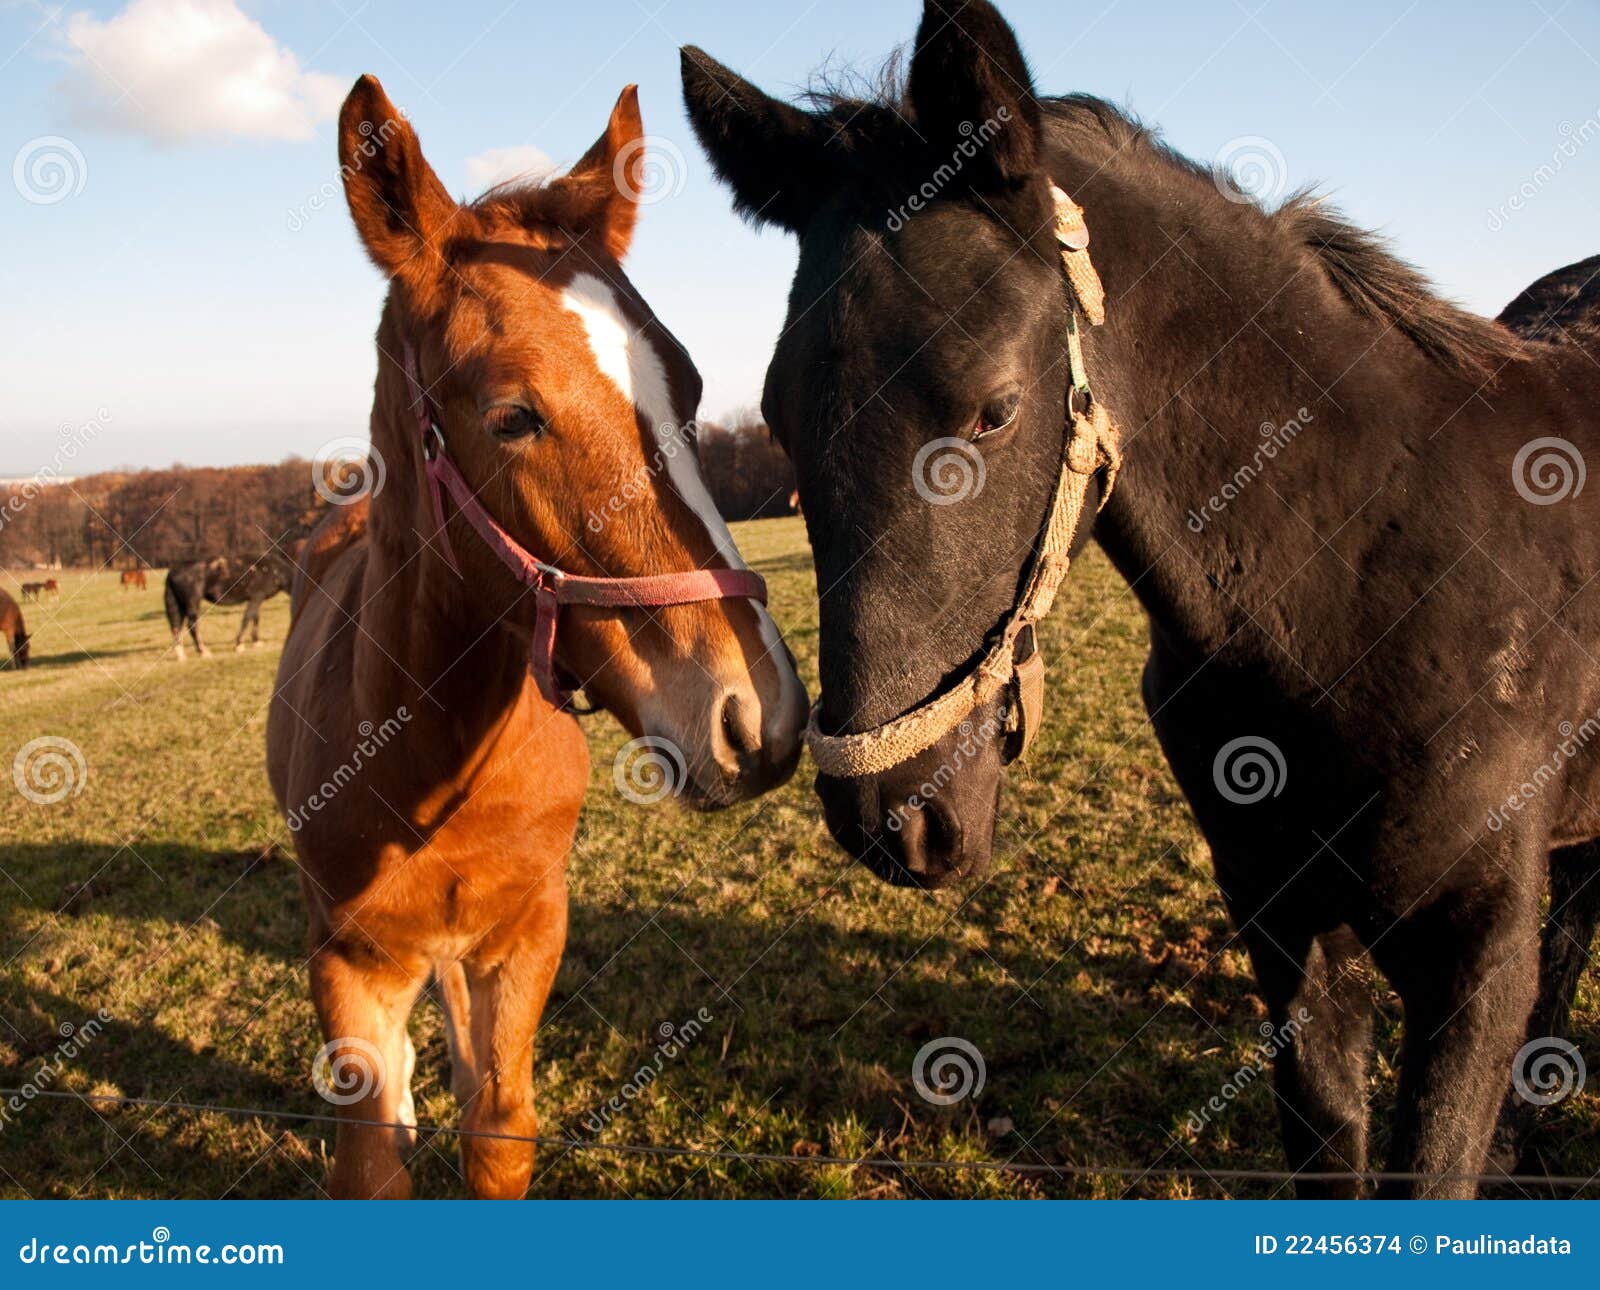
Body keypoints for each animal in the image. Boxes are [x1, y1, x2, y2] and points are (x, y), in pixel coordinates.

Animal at [164, 554, 293, 659]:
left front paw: (256, 641)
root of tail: (172, 572)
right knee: (192, 625)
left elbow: (255, 618)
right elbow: (247, 619)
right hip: (192, 602)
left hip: (180, 605)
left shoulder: (257, 600)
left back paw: (180, 654)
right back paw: (203, 651)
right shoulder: (256, 598)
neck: (275, 570)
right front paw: (239, 645)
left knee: (176, 627)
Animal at [265, 75, 806, 1200]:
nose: (758, 721)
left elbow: (498, 1128)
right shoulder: (345, 959)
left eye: (689, 388)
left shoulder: (527, 936)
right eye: (513, 415)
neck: (432, 765)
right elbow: (372, 1155)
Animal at [682, 0, 1600, 1197]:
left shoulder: (1472, 960)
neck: (1362, 586)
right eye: (780, 417)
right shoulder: (1281, 919)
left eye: (993, 410)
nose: (895, 820)